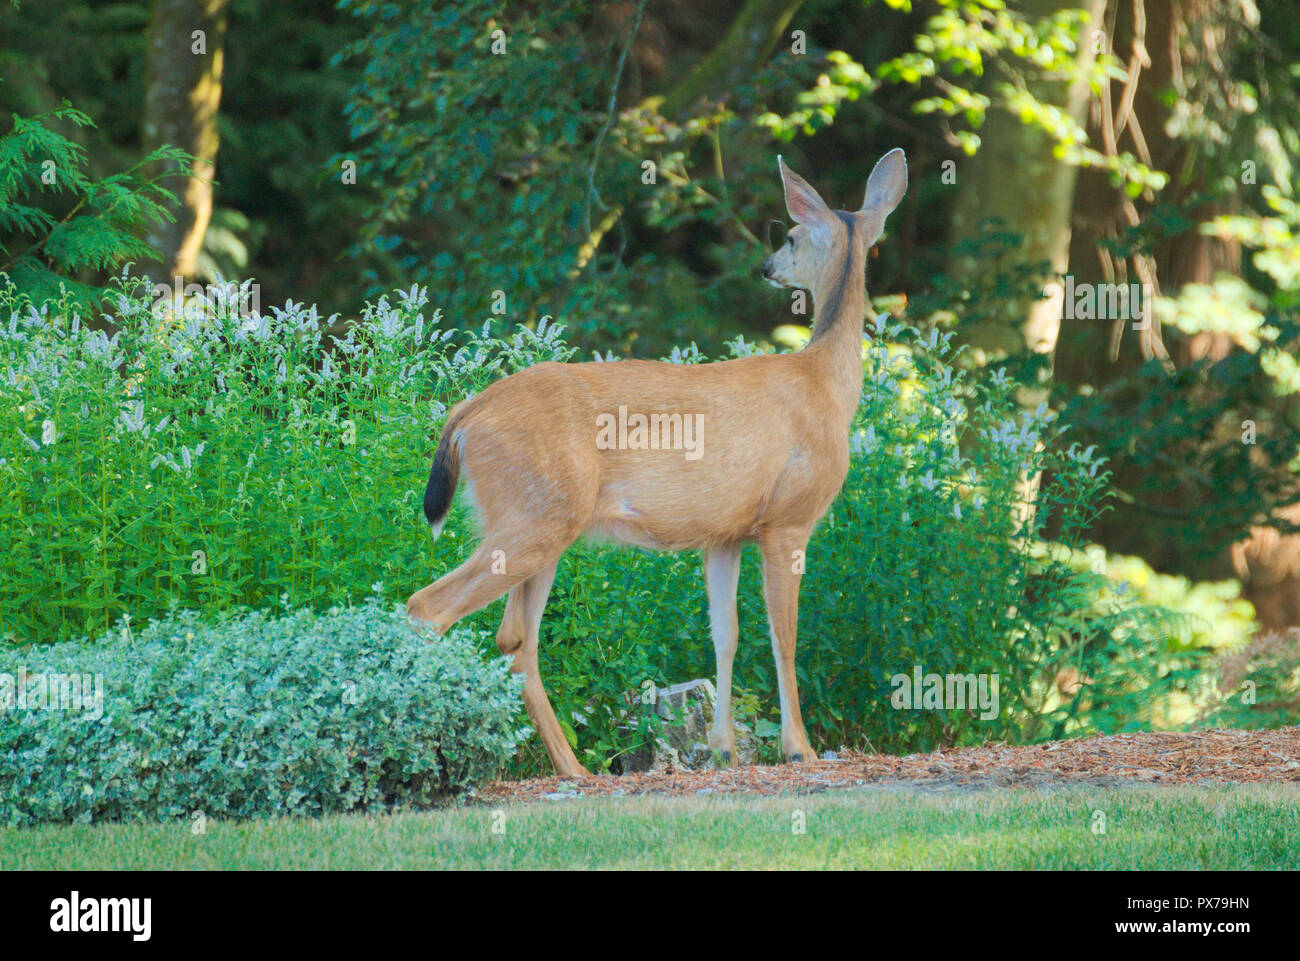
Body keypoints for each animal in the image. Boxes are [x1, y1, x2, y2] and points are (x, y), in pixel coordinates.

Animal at [406, 148, 908, 777]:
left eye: (790, 238)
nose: (767, 266)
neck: (826, 385)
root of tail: (465, 414)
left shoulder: (725, 533)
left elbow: (727, 633)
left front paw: (722, 748)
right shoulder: (789, 517)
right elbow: (784, 635)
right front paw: (799, 747)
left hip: (543, 522)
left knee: (515, 639)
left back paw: (573, 768)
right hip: (531, 515)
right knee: (429, 607)